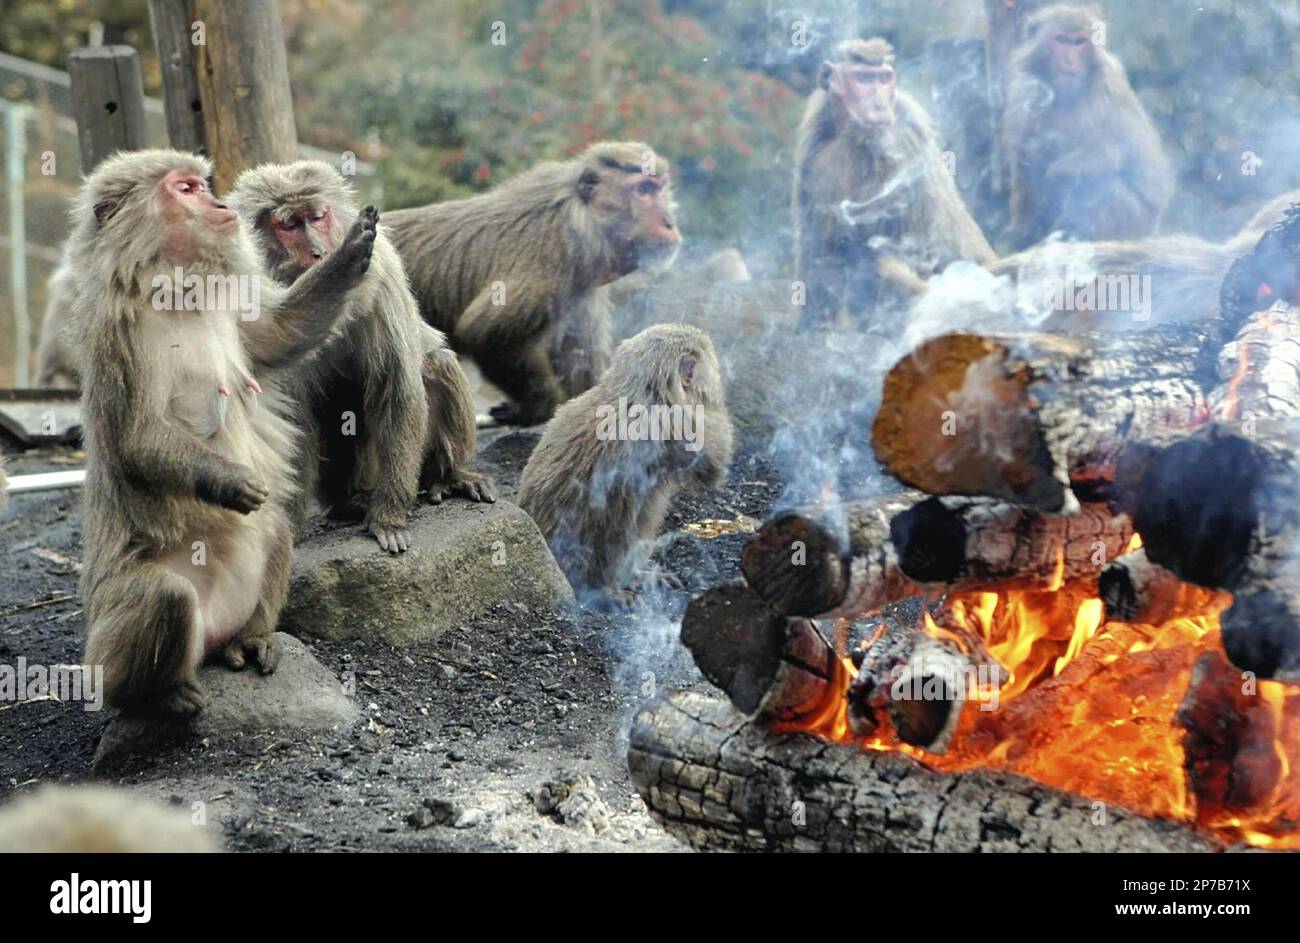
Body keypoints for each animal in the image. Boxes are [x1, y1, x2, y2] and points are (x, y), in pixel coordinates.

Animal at [67, 149, 376, 714]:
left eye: (204, 186)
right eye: (186, 189)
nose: (216, 203)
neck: (172, 287)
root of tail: (207, 639)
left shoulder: (225, 299)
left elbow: (278, 337)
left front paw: (350, 252)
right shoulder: (117, 335)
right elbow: (137, 438)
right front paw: (228, 481)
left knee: (274, 530)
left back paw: (248, 640)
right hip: (108, 641)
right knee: (165, 596)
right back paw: (158, 695)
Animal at [226, 161, 493, 553]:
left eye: (317, 217)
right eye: (290, 226)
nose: (318, 252)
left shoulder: (382, 268)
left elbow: (397, 385)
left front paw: (389, 517)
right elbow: (292, 415)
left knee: (436, 365)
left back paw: (448, 477)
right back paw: (349, 501)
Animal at [386, 141, 682, 426]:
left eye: (659, 189)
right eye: (643, 190)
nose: (670, 223)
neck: (583, 215)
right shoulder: (559, 248)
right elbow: (486, 333)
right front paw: (539, 407)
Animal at [1003, 5, 1173, 250]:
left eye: (1079, 43)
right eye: (1061, 40)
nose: (1070, 61)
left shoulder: (1107, 89)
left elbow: (1109, 156)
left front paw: (1055, 175)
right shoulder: (1025, 90)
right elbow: (1022, 159)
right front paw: (1019, 233)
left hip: (1135, 225)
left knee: (1102, 184)